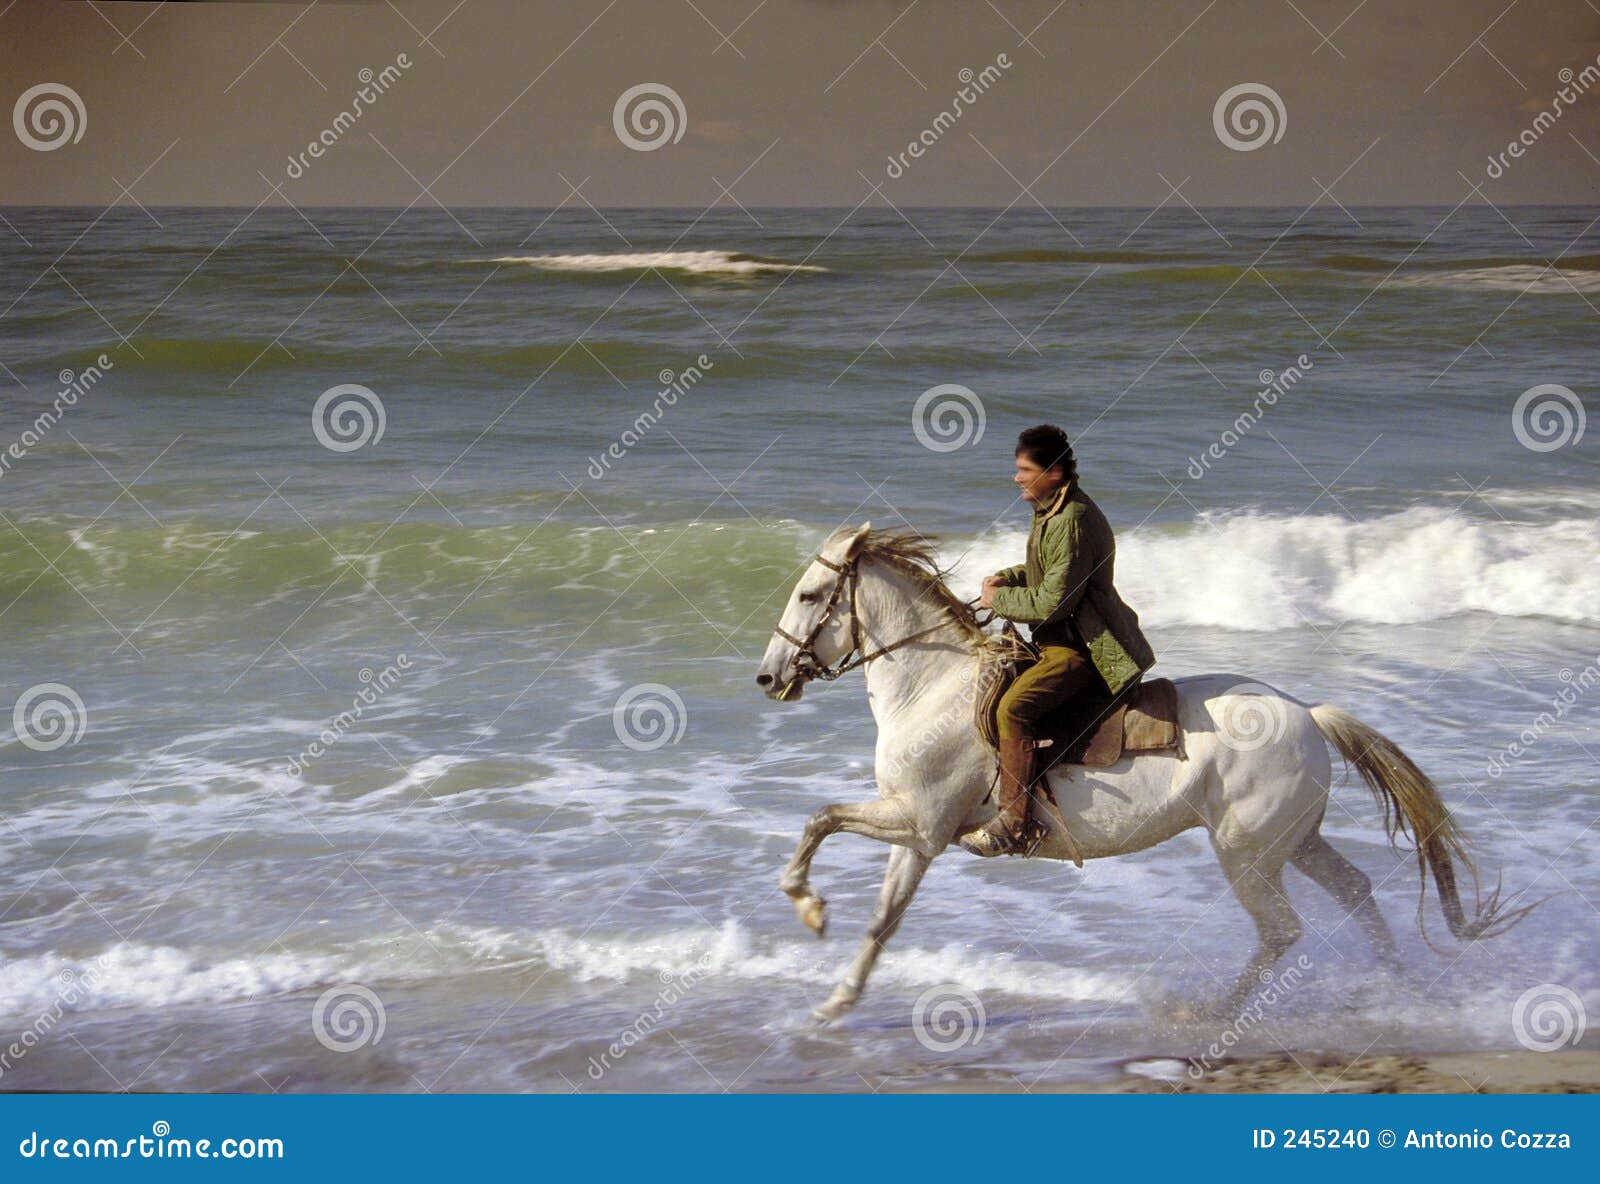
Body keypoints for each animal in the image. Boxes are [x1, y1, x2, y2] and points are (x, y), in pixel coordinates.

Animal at [755, 523, 1532, 1024]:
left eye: (809, 595)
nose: (769, 677)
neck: (934, 686)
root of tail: (1309, 714)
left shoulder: (917, 823)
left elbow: (820, 819)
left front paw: (806, 905)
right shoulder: (916, 837)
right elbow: (881, 920)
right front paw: (835, 999)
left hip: (1247, 855)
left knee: (1282, 934)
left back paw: (1212, 1012)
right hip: (1296, 841)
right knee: (1356, 892)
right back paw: (1398, 989)